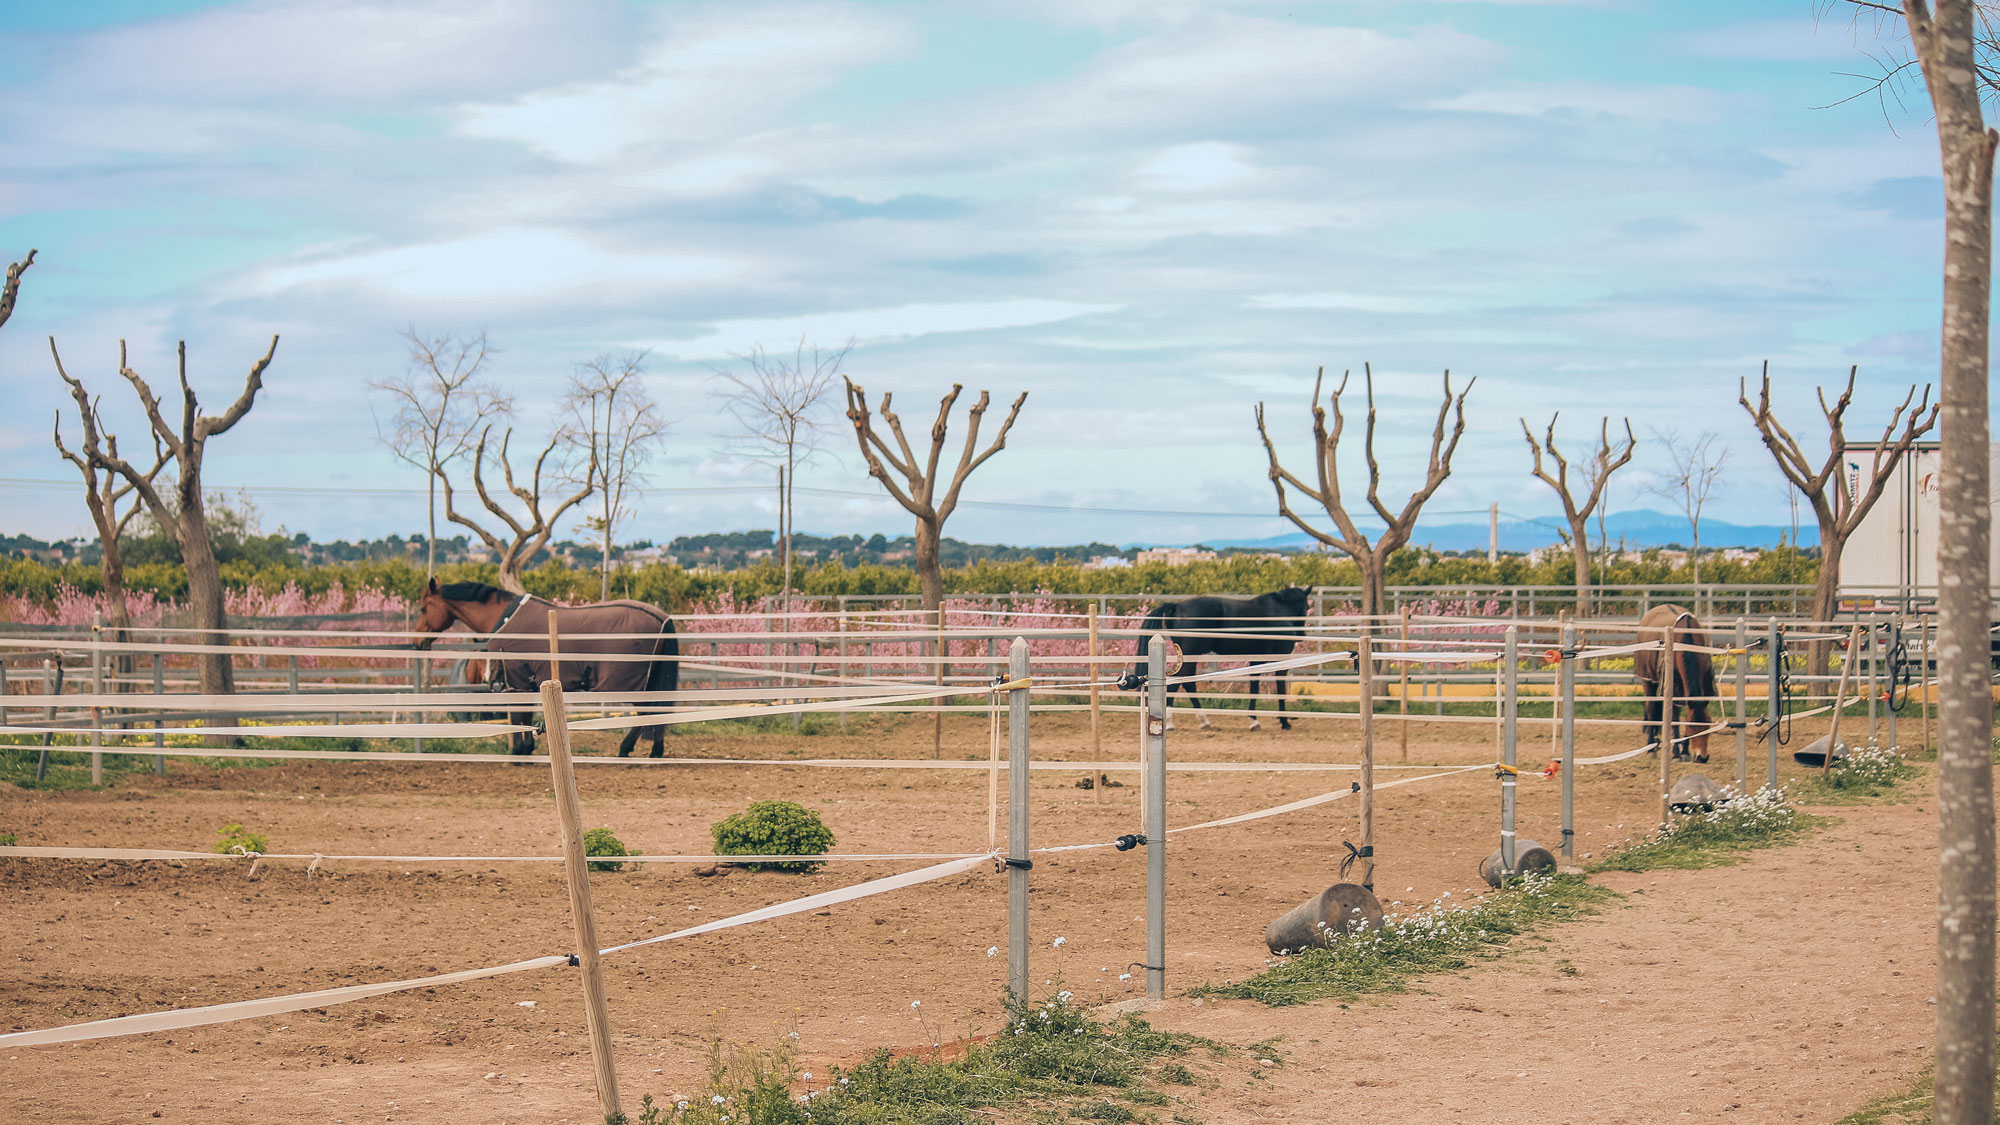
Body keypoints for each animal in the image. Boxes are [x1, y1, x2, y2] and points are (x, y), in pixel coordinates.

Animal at [413, 578, 680, 756]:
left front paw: (518, 753)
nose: (417, 642)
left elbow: (518, 714)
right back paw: (654, 753)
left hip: (635, 685)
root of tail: (662, 617)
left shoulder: (515, 681)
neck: (504, 618)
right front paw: (526, 750)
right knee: (657, 713)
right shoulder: (528, 681)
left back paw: (625, 750)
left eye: (423, 608)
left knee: (646, 713)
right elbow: (526, 715)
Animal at [1131, 587, 1311, 731]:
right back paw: (1170, 722)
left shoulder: (1256, 661)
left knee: (1189, 683)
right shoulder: (1279, 661)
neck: (1279, 612)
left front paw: (1253, 720)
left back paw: (1204, 720)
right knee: (1179, 682)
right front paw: (1284, 722)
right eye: (1307, 606)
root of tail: (1177, 607)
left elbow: (1254, 688)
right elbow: (1280, 688)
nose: (1301, 634)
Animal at [1632, 603, 1716, 763]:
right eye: (1691, 727)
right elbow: (1675, 719)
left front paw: (1685, 751)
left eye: (1708, 726)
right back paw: (1650, 748)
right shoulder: (1674, 686)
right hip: (1648, 681)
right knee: (1651, 709)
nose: (1702, 757)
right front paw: (1677, 753)